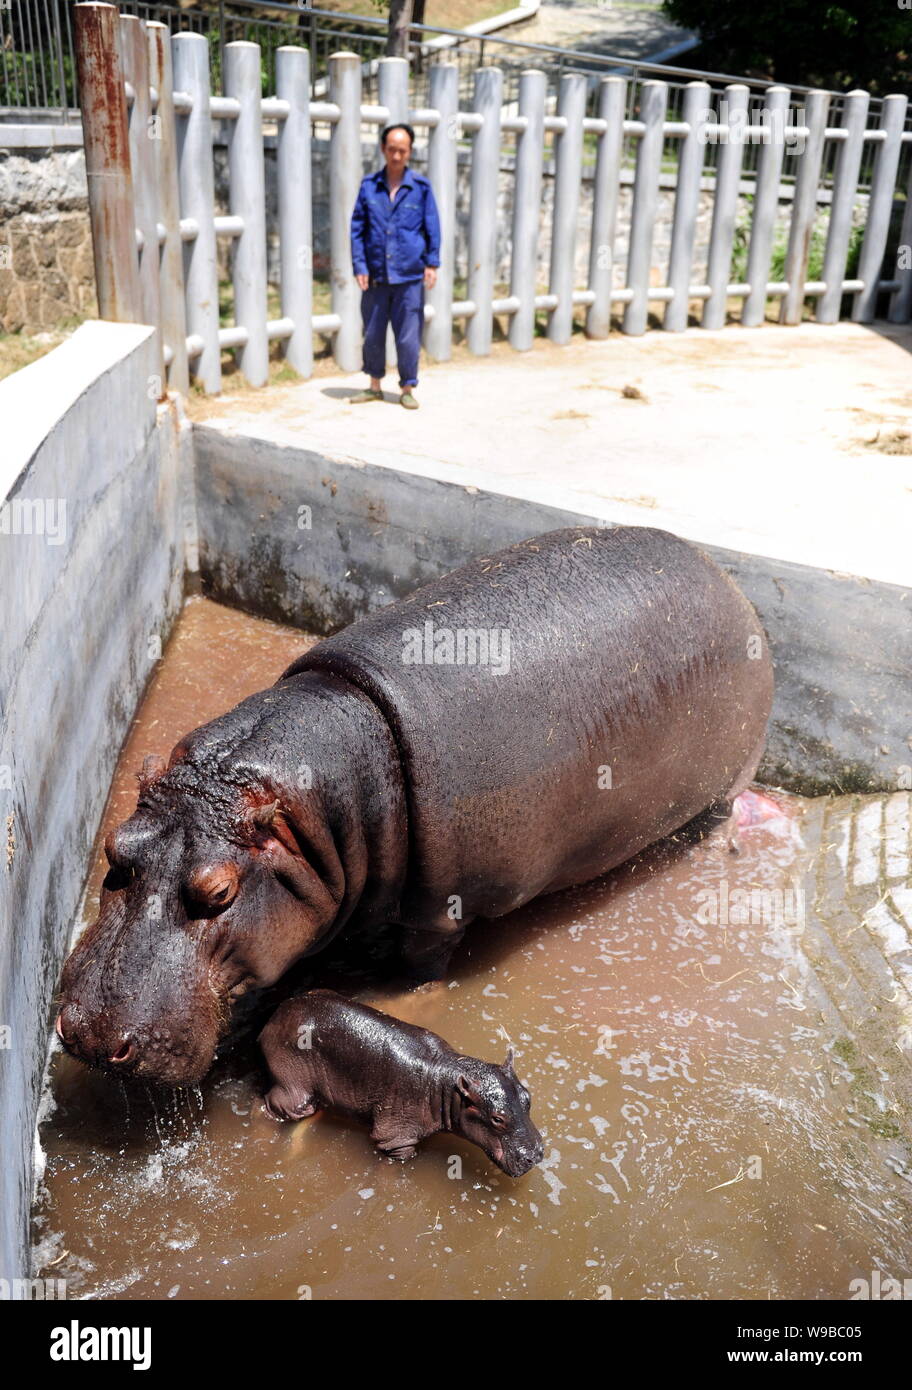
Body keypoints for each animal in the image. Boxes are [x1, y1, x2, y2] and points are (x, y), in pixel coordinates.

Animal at [57, 524, 773, 1085]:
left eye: (219, 892)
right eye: (114, 849)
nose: (90, 1035)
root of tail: (727, 578)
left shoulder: (440, 910)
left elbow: (420, 966)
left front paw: (403, 997)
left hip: (729, 777)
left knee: (721, 814)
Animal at [260, 989, 544, 1176]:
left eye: (528, 1098)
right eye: (497, 1118)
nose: (536, 1155)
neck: (444, 1078)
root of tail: (274, 1015)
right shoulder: (395, 1137)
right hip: (294, 1086)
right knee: (274, 1104)